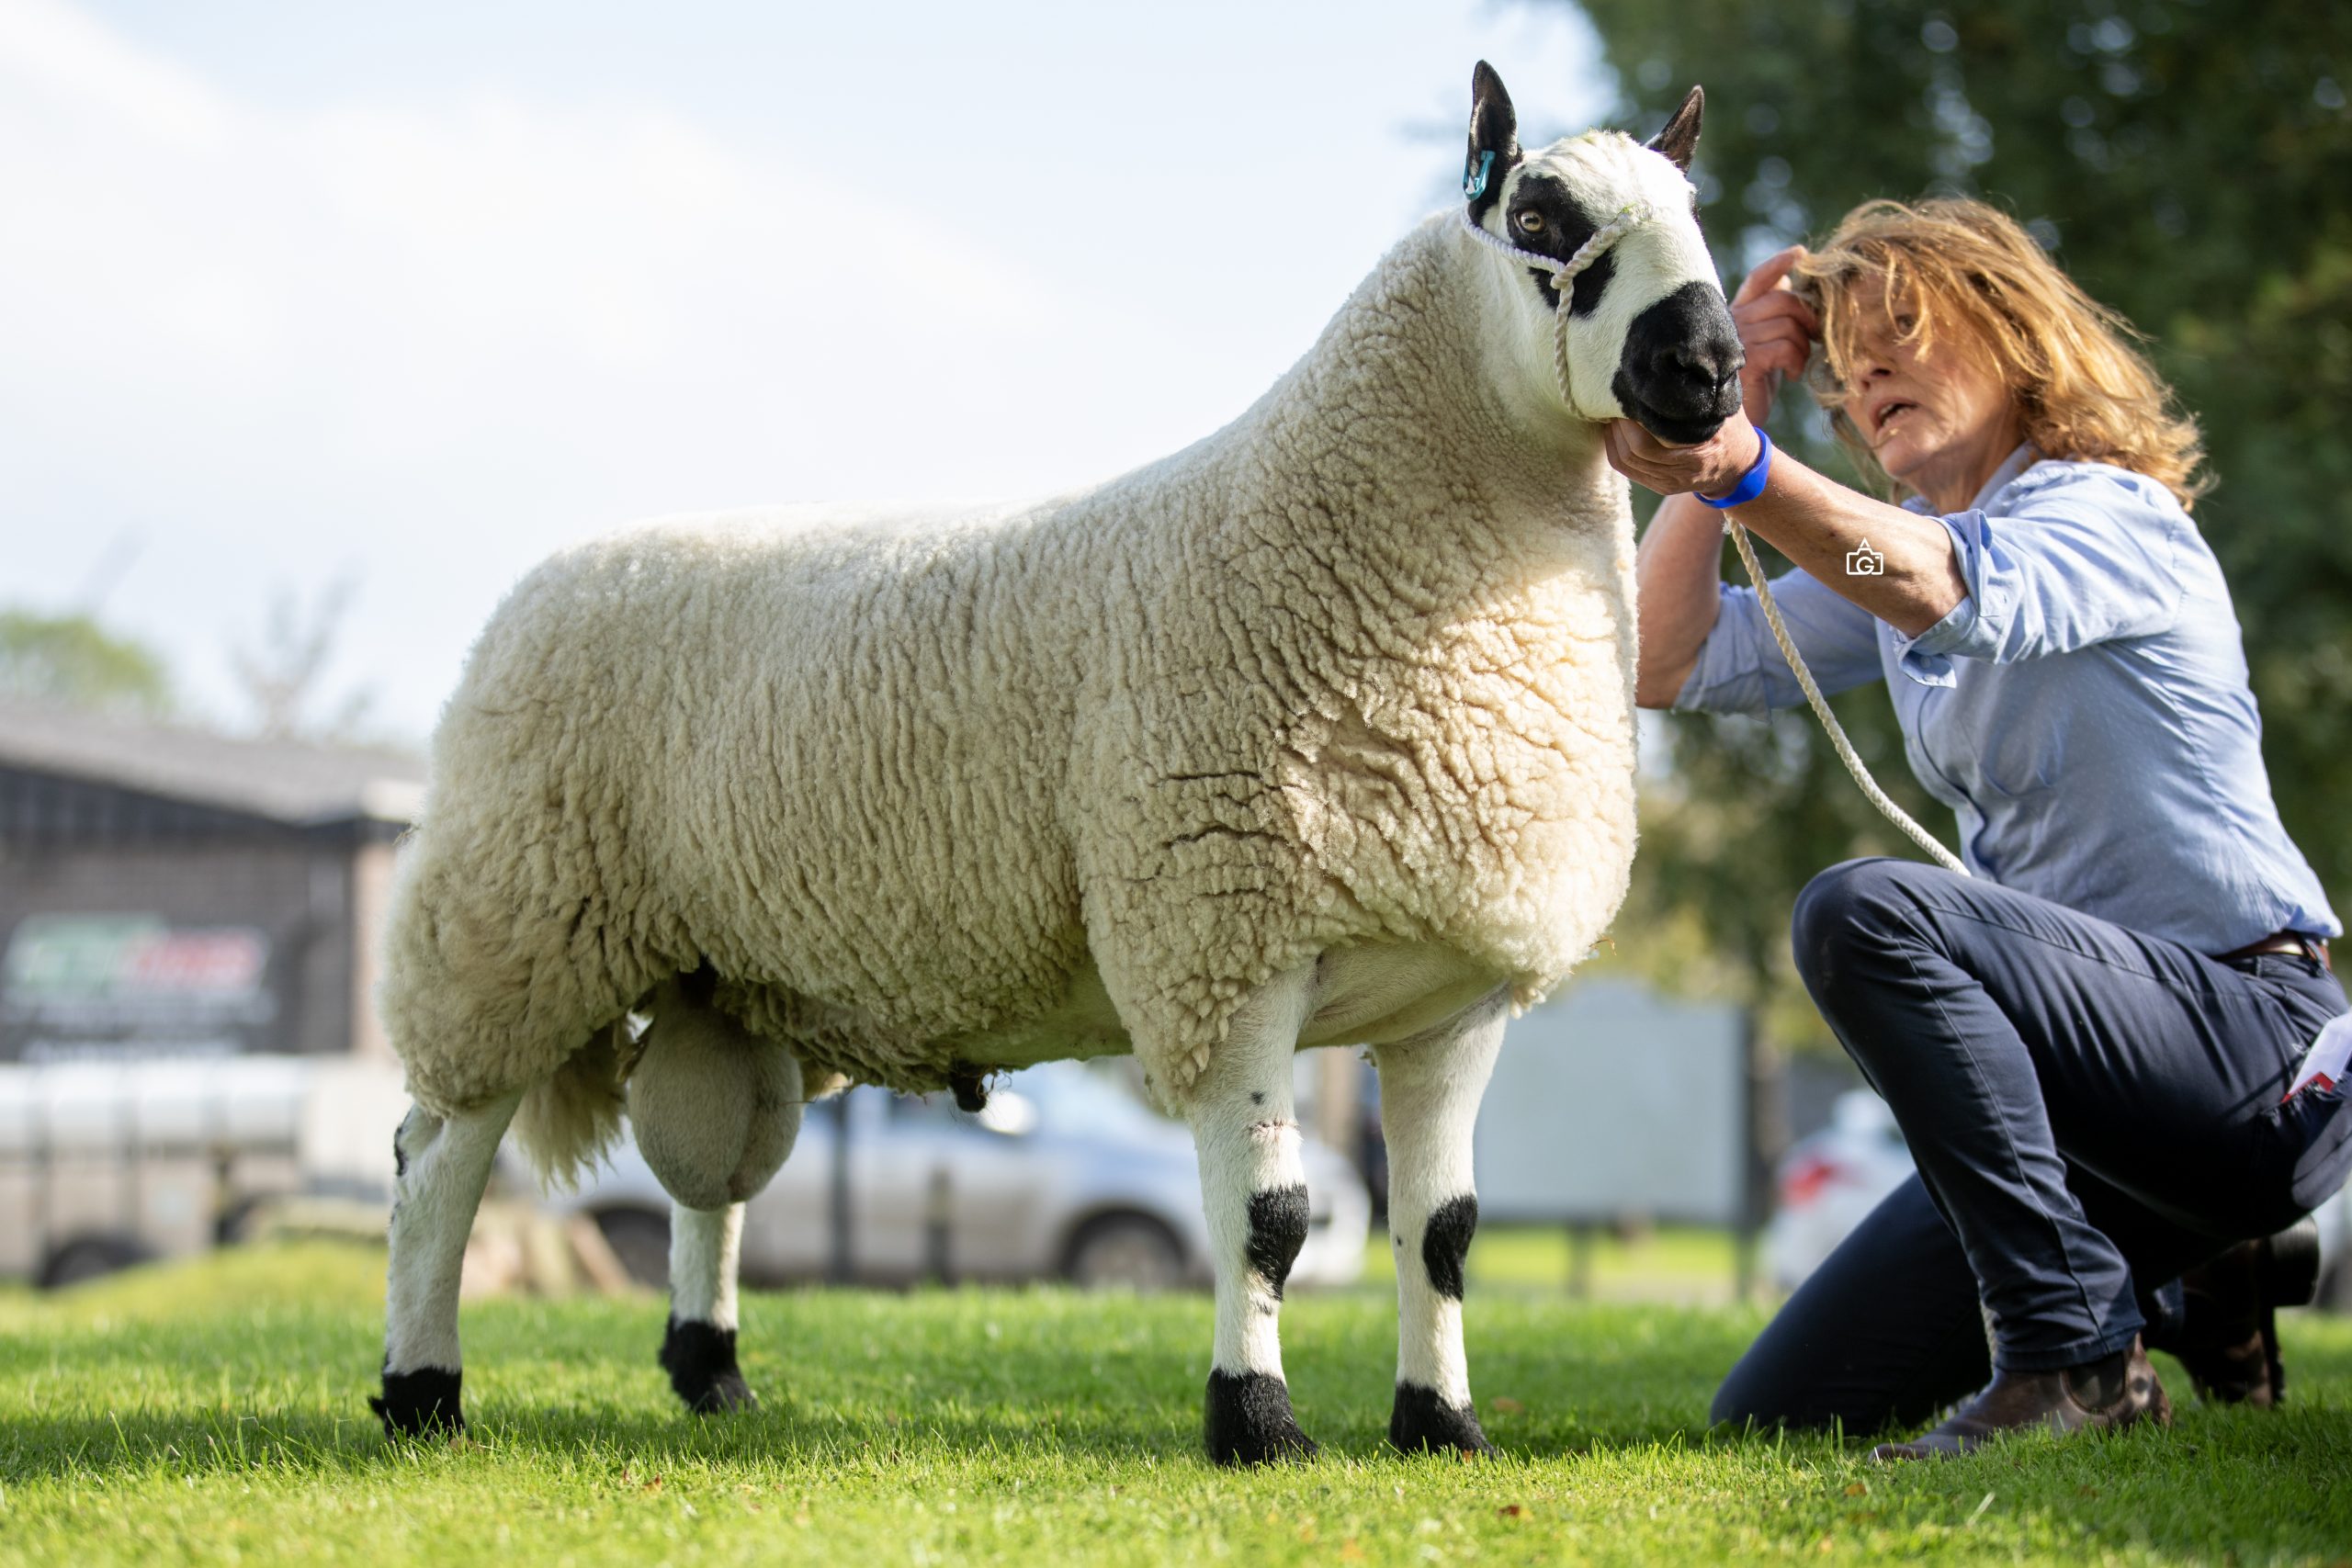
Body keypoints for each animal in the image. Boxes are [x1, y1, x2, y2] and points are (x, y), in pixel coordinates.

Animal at [370, 62, 1742, 1465]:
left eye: (1695, 208)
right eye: (1537, 216)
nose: (1706, 364)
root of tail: (554, 577)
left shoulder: (1451, 995)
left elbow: (1444, 1235)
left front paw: (1441, 1424)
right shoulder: (1217, 940)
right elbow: (1270, 1222)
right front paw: (1255, 1422)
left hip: (729, 967)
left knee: (715, 1180)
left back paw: (713, 1375)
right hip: (508, 920)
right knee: (437, 1161)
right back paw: (424, 1391)